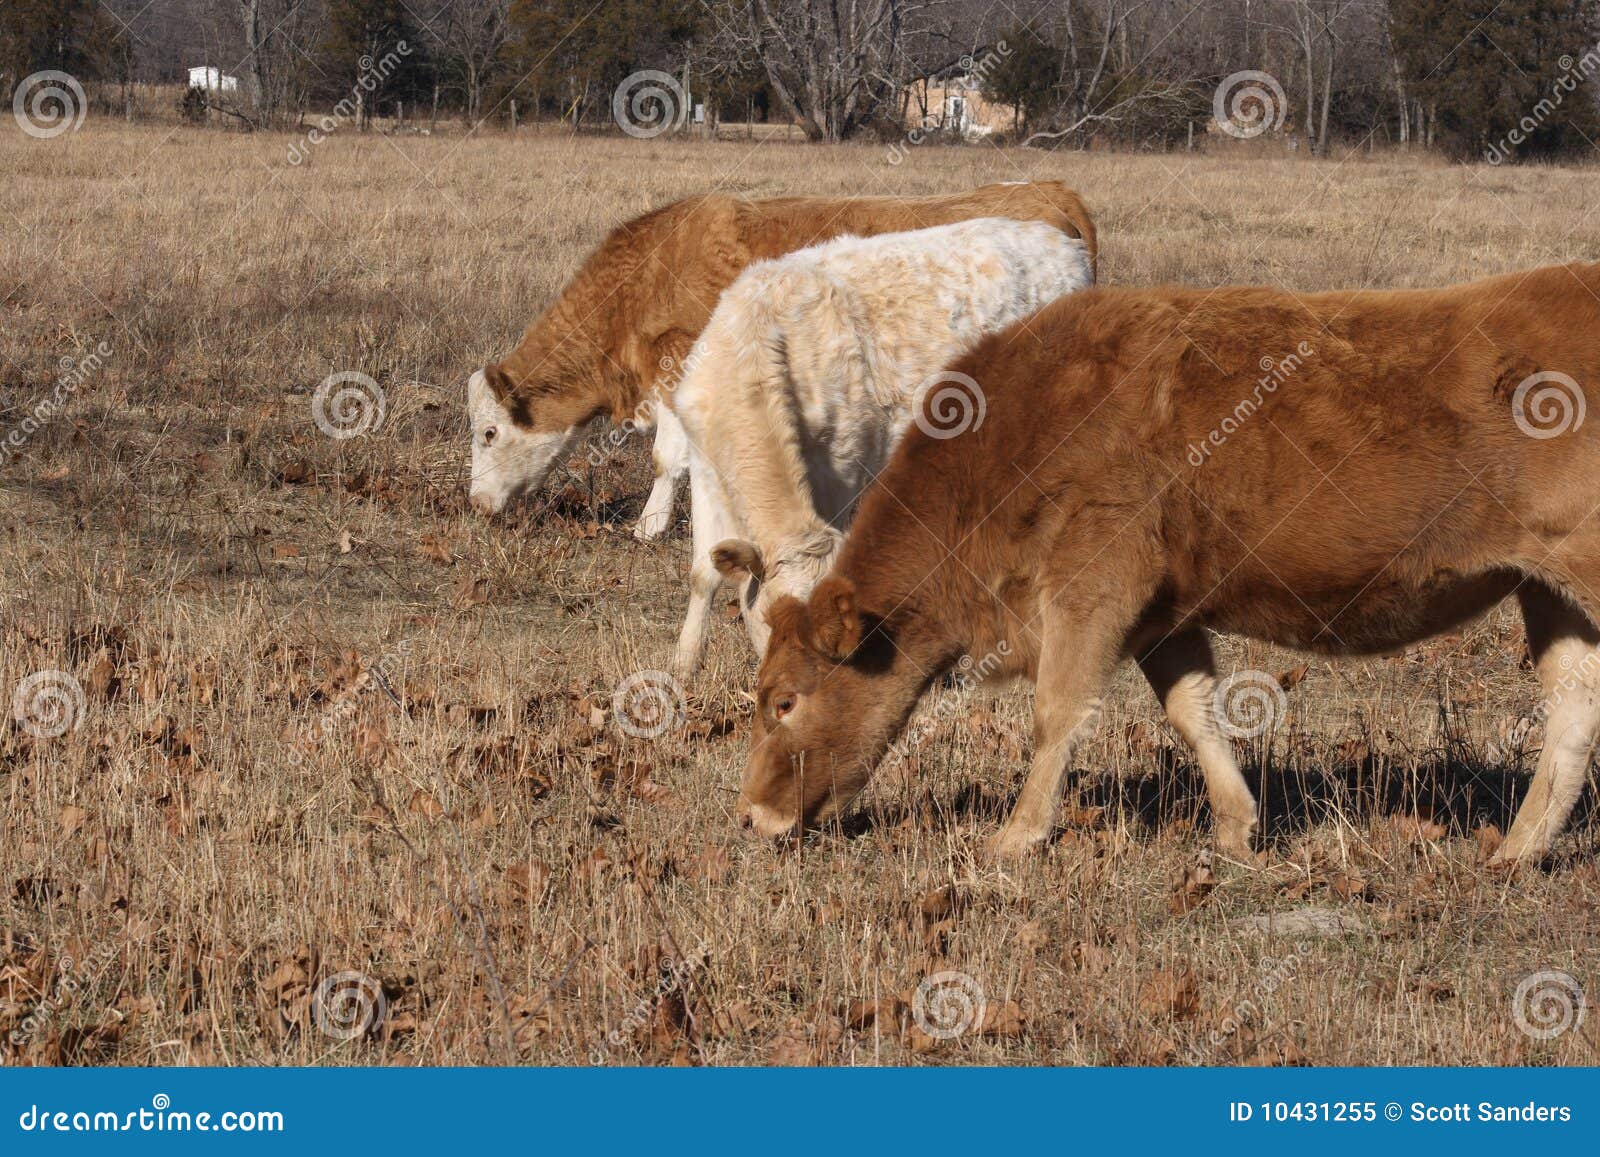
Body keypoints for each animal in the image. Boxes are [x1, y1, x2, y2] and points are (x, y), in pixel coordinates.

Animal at [669, 217, 1094, 676]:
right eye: (772, 621)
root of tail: (1056, 238)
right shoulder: (703, 463)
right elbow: (703, 574)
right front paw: (685, 663)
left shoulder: (839, 469)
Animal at [737, 263, 1600, 868]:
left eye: (784, 700)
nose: (751, 815)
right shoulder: (1162, 612)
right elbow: (1195, 709)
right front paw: (1236, 825)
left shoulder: (1090, 585)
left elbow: (1058, 709)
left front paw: (1017, 835)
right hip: (1551, 594)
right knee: (1574, 708)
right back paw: (1518, 849)